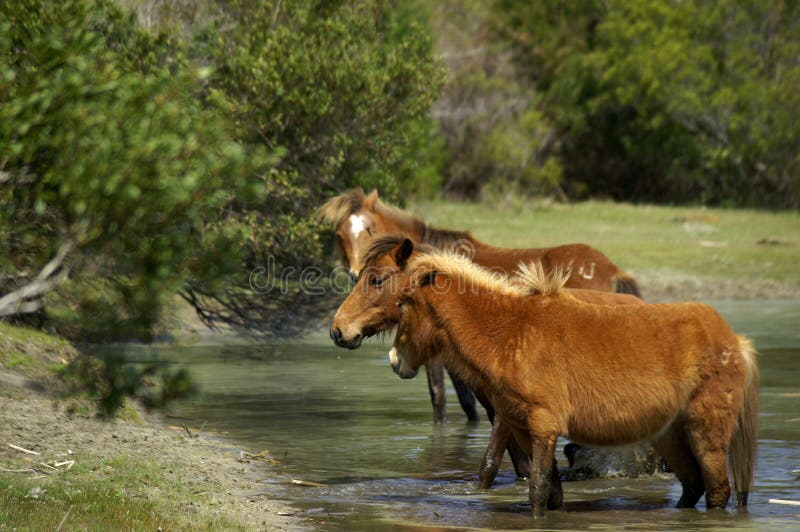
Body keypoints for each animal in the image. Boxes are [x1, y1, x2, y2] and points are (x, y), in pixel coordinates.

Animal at [320, 188, 642, 422]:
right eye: (339, 235)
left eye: (370, 228)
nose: (338, 331)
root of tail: (612, 269)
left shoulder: (438, 358)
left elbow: (443, 399)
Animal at [331, 234, 644, 491]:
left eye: (378, 280)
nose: (338, 330)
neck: (493, 327)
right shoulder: (499, 406)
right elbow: (507, 463)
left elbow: (497, 462)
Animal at [389, 251, 758, 516]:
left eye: (403, 303)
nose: (395, 360)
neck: (509, 334)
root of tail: (734, 341)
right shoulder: (521, 427)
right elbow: (552, 492)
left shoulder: (543, 426)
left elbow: (537, 489)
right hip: (669, 435)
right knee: (693, 487)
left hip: (705, 431)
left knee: (717, 491)